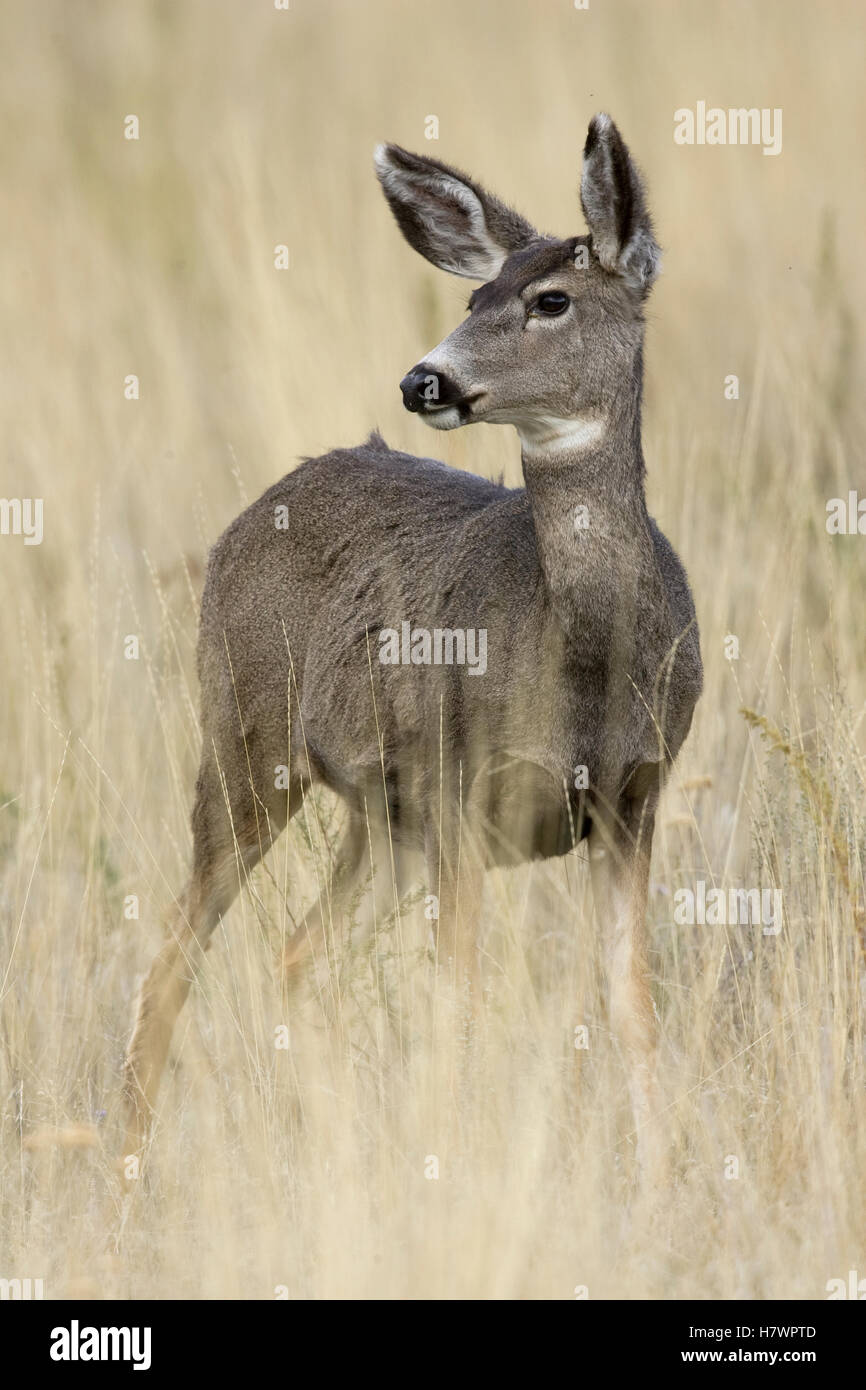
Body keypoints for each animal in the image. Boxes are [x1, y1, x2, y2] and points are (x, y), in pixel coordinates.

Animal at [121, 114, 702, 1177]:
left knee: (295, 953)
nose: (422, 378)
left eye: (549, 299)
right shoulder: (466, 786)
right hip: (247, 744)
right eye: (472, 294)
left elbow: (633, 1009)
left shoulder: (634, 798)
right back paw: (125, 1162)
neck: (586, 661)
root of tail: (250, 513)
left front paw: (657, 1176)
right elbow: (459, 1006)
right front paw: (459, 1158)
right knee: (176, 955)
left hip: (380, 821)